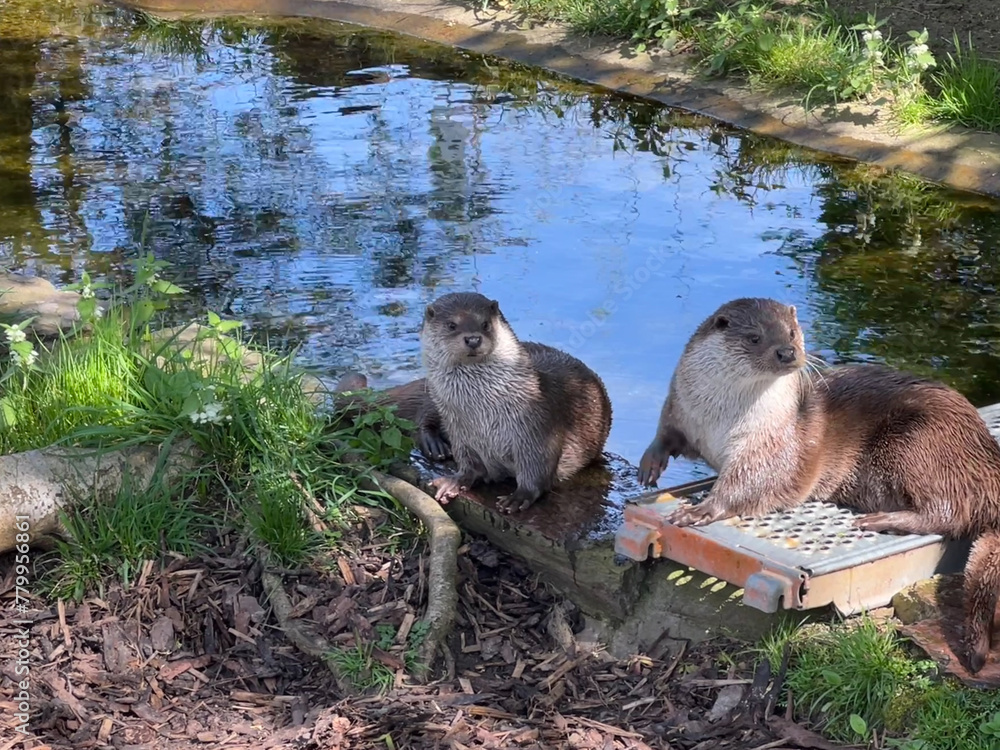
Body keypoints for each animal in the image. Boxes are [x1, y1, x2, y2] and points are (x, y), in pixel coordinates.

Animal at [420, 292, 612, 514]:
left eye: (485, 324)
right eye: (452, 325)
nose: (473, 339)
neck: (483, 415)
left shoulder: (536, 427)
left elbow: (536, 466)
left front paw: (520, 496)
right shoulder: (458, 430)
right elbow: (469, 464)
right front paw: (456, 481)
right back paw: (435, 445)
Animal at [638, 297, 1000, 675]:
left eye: (792, 333)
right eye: (755, 337)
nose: (787, 352)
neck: (719, 421)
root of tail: (987, 457)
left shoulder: (769, 447)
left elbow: (749, 481)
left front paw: (701, 509)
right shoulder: (681, 409)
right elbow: (668, 433)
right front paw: (650, 462)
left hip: (918, 441)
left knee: (948, 513)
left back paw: (881, 520)